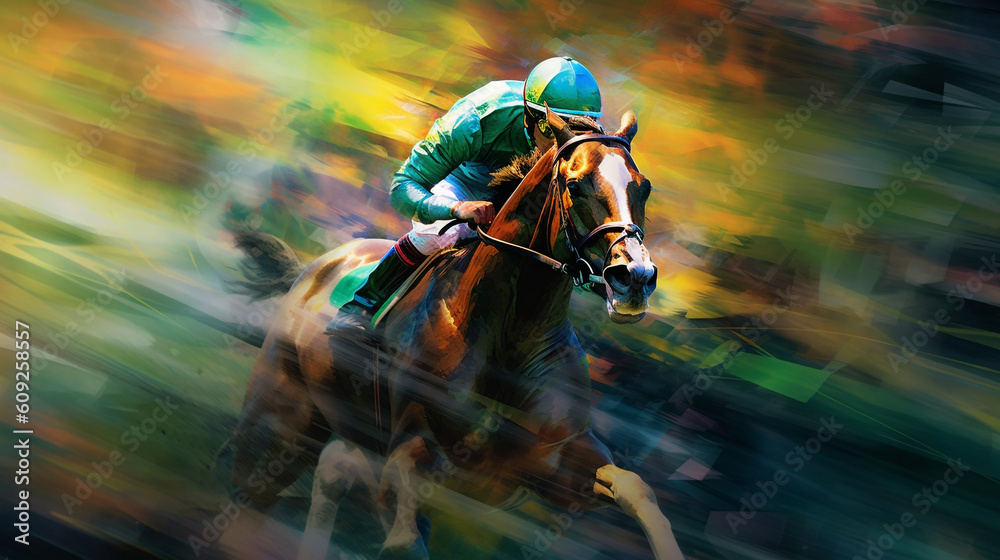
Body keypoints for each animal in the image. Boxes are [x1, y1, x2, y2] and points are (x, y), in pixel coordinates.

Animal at [225, 107, 683, 560]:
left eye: (643, 188)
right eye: (575, 184)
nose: (636, 277)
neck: (511, 340)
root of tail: (317, 265)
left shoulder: (557, 465)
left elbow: (637, 490)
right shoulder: (412, 454)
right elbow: (404, 538)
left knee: (333, 470)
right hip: (278, 422)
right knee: (250, 497)